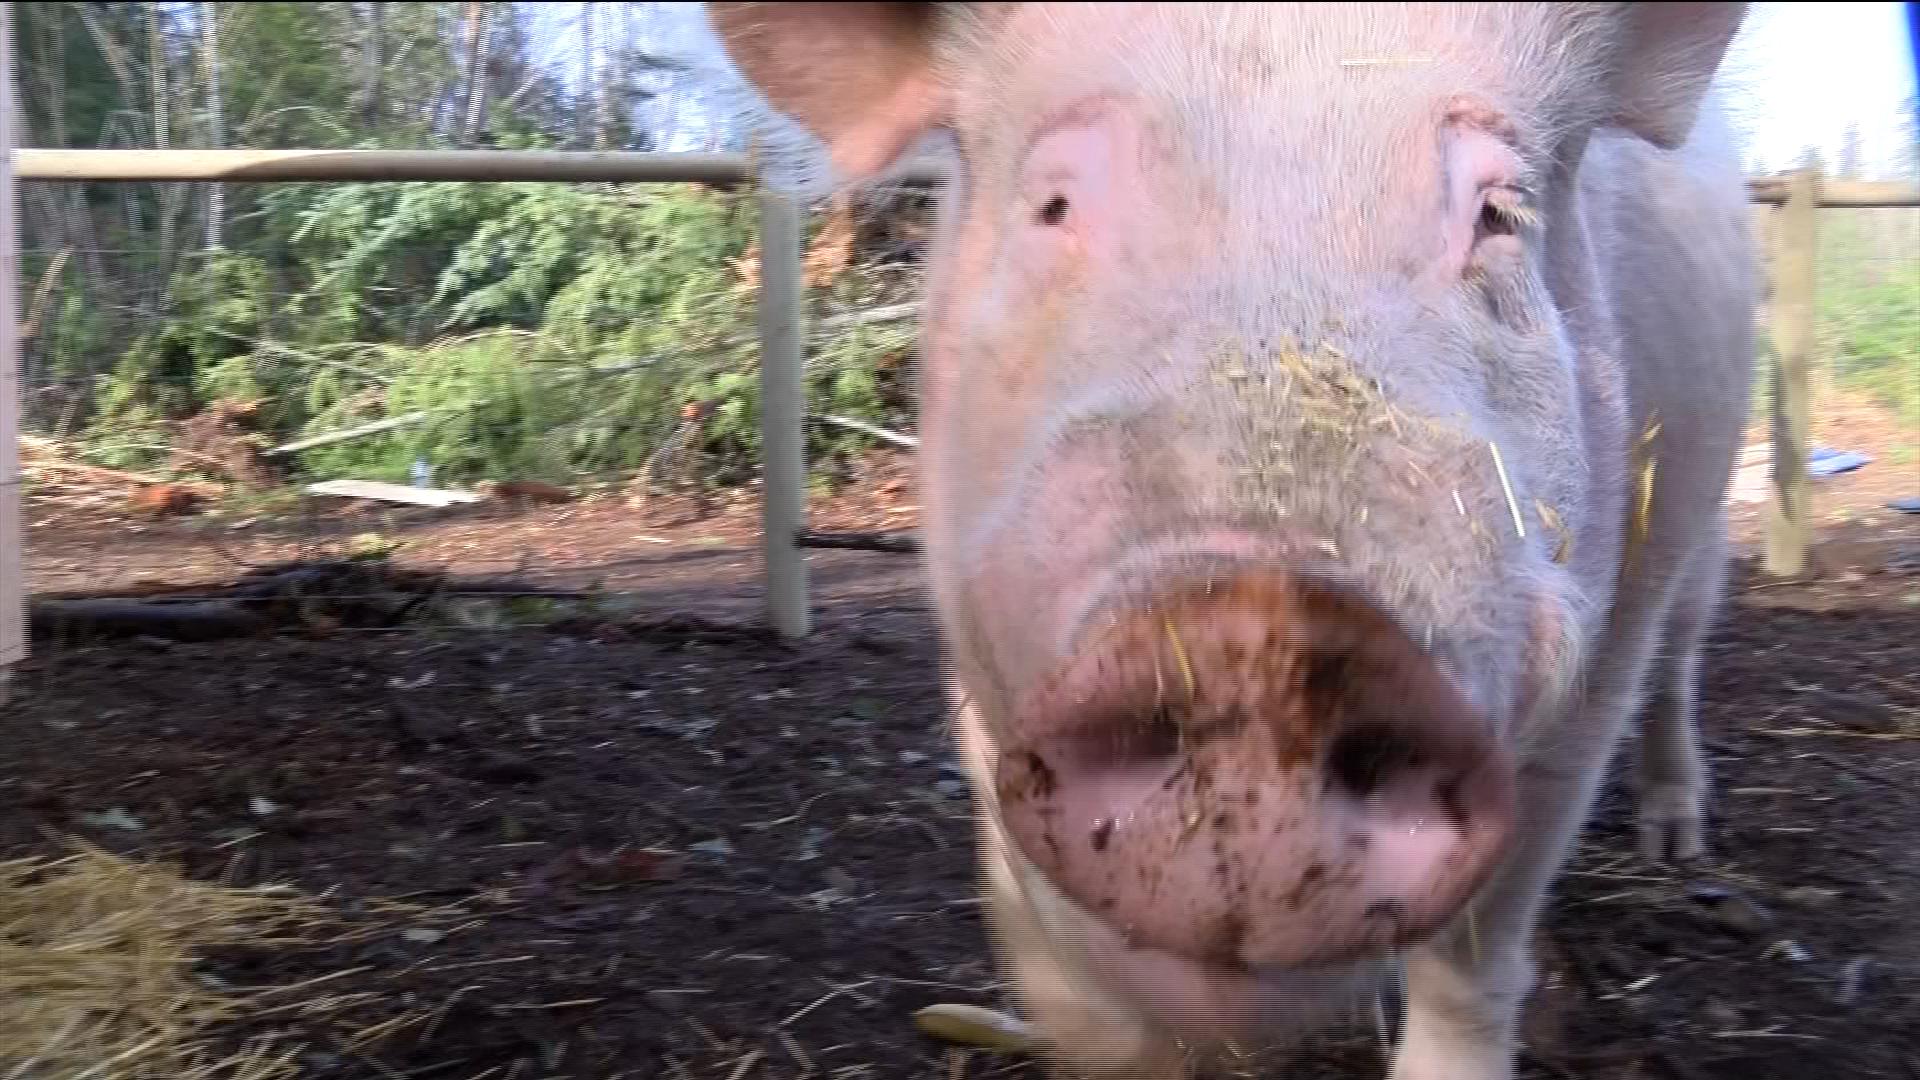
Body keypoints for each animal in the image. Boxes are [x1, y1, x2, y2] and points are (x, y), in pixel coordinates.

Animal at [705, 4, 1756, 1077]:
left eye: (1500, 216)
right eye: (1053, 205)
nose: (1259, 632)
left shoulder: (1606, 629)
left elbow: (1474, 955)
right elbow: (1062, 965)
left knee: (1683, 658)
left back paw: (1678, 840)